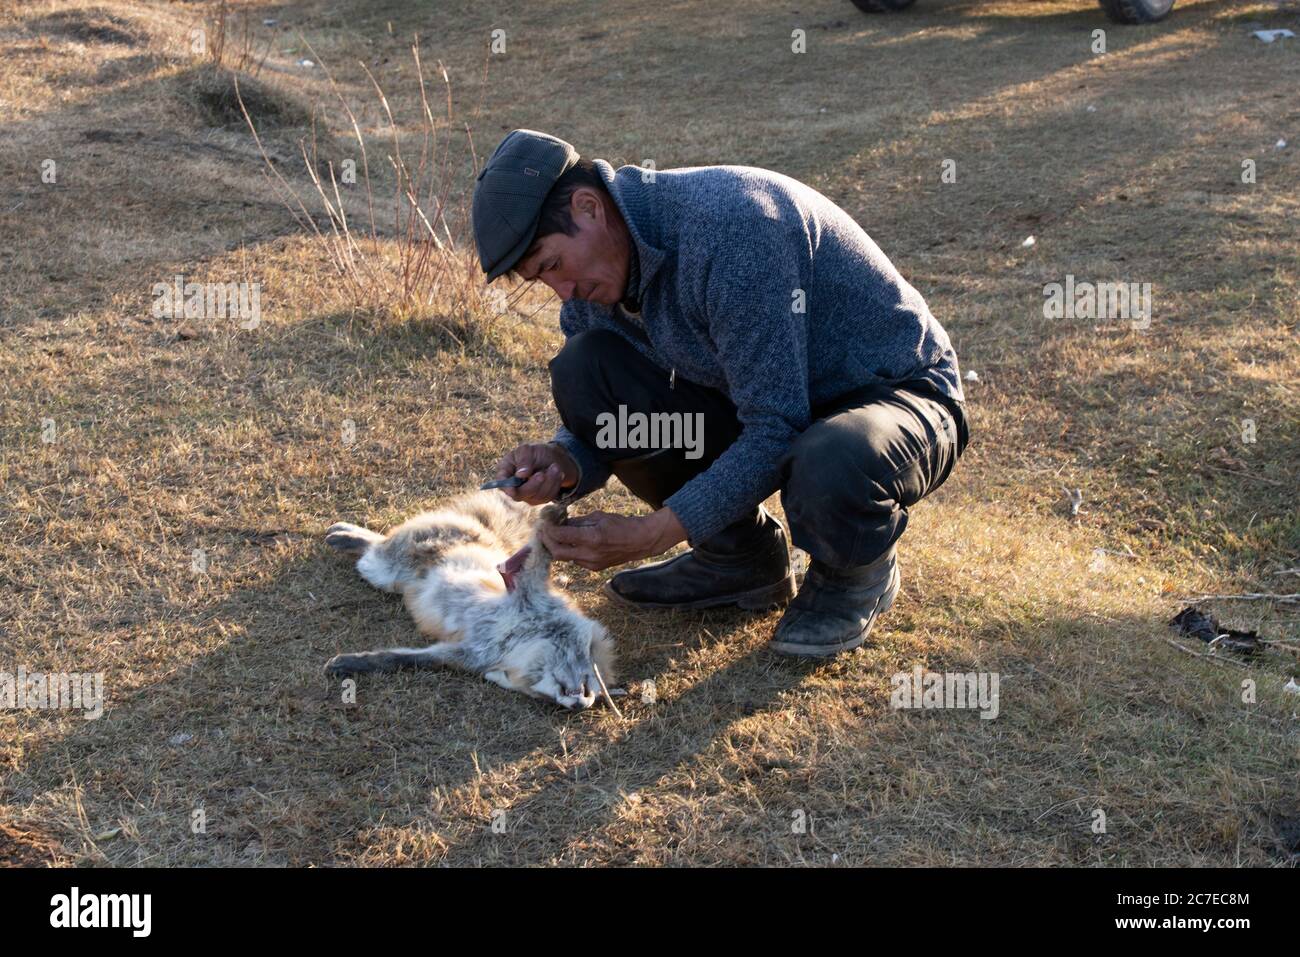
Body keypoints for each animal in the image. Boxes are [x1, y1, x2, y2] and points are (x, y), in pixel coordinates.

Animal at [322, 492, 615, 711]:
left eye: (543, 698)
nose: (581, 705)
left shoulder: (472, 655)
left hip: (381, 572)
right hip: (385, 568)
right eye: (591, 685)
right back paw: (347, 533)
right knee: (377, 543)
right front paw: (554, 516)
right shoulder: (528, 591)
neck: (529, 635)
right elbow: (541, 549)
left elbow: (404, 658)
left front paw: (355, 663)